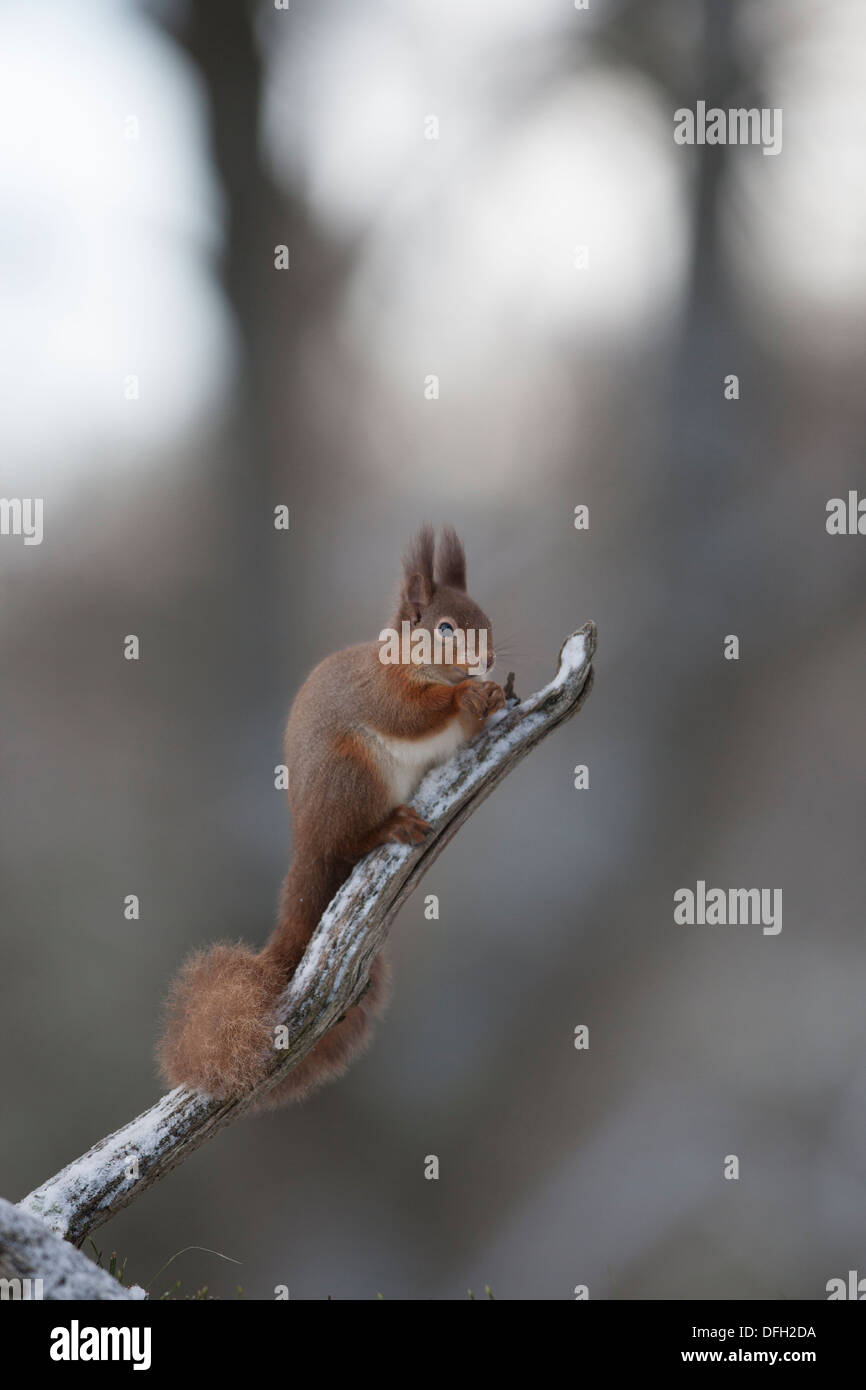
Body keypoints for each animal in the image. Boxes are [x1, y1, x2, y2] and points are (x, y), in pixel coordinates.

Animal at [157, 524, 505, 1108]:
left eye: (486, 616)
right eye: (446, 628)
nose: (489, 660)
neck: (411, 662)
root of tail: (307, 841)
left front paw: (495, 695)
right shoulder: (383, 692)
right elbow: (411, 713)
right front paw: (465, 693)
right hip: (351, 775)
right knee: (349, 841)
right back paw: (389, 826)